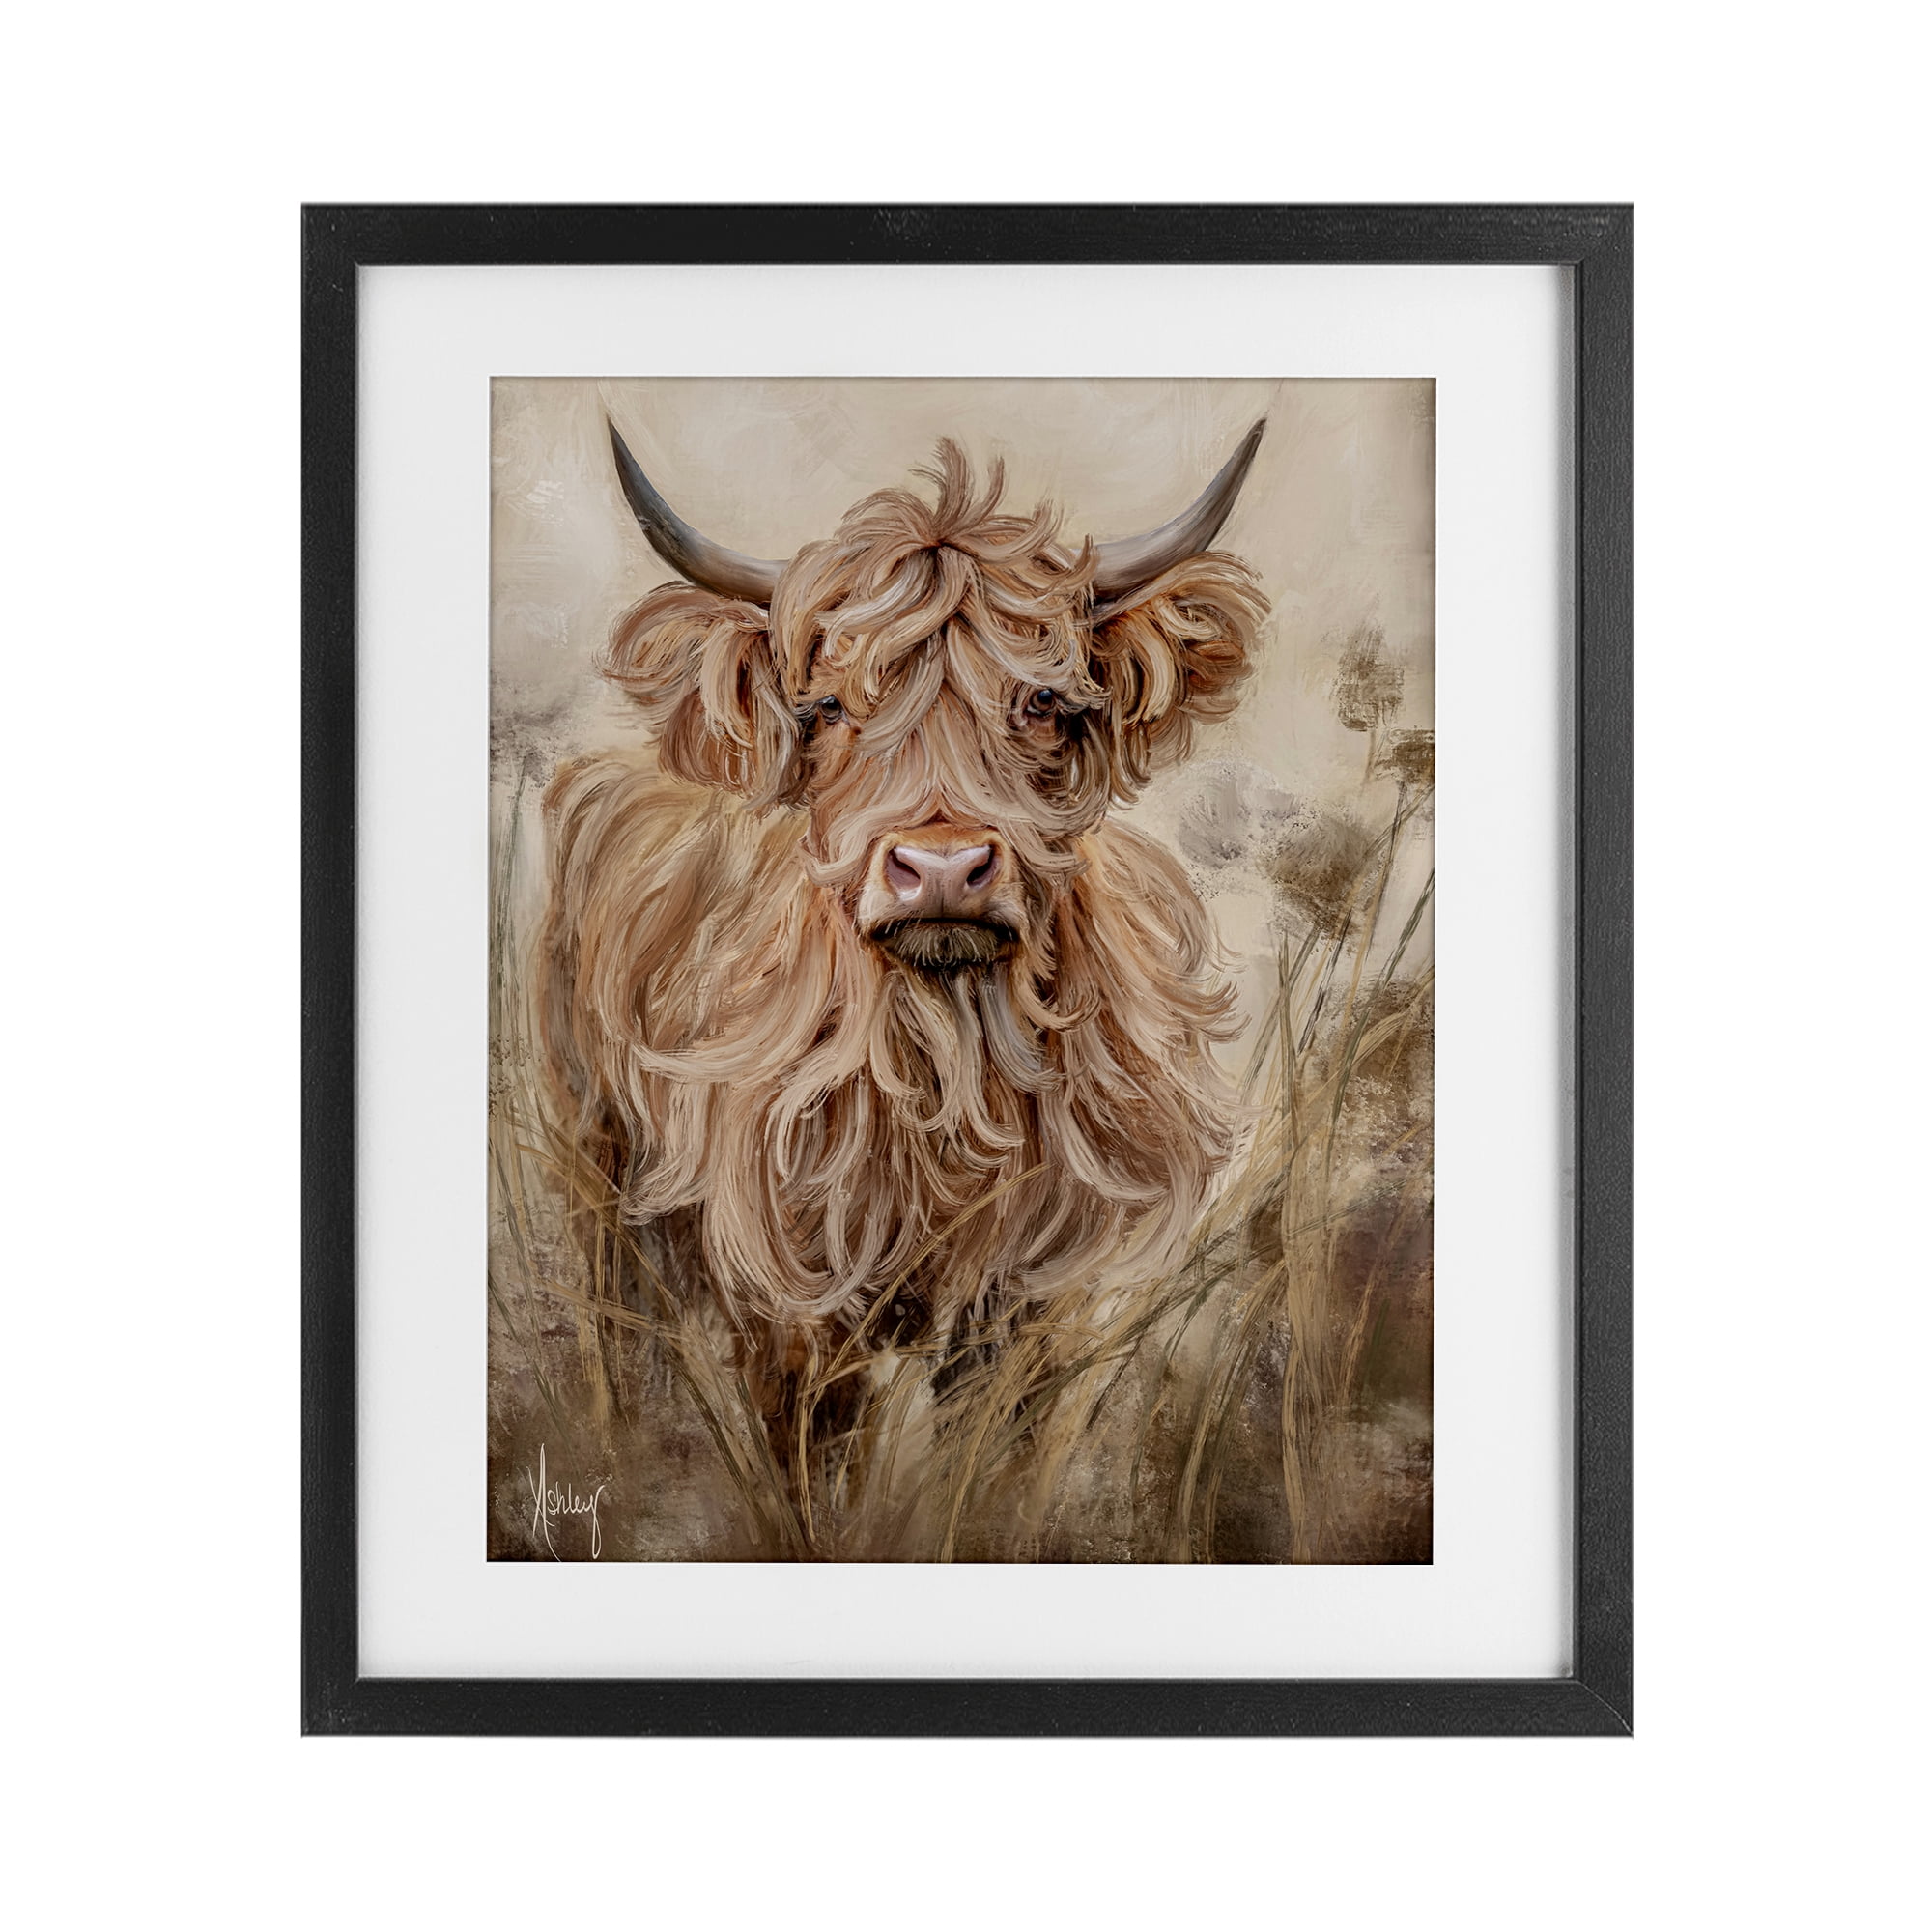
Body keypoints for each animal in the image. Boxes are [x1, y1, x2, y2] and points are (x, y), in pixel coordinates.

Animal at [537, 419, 1271, 1427]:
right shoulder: (790, 1309)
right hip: (596, 1166)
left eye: (1042, 700)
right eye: (827, 706)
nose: (942, 870)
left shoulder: (1026, 1305)